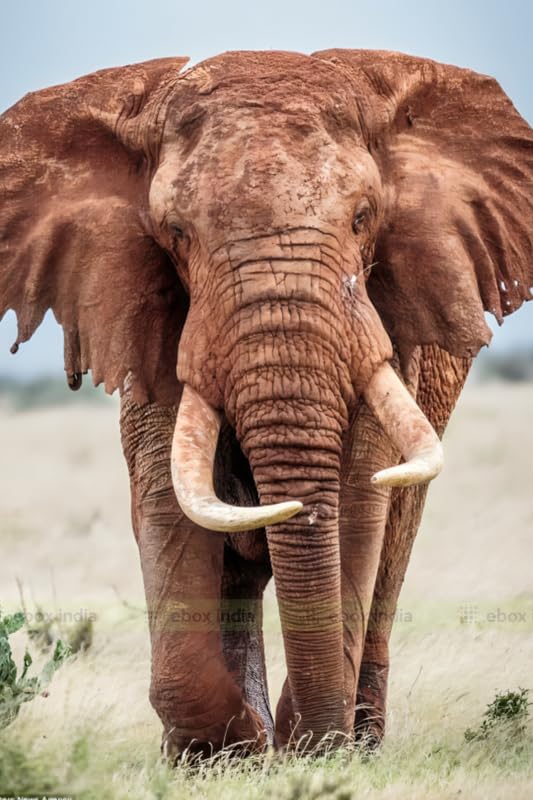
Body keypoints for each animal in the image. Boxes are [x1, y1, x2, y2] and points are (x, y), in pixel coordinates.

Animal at [1, 49, 532, 757]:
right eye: (175, 233)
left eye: (363, 218)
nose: (301, 739)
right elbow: (167, 503)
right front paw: (224, 755)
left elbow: (358, 503)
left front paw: (305, 746)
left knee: (392, 554)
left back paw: (361, 739)